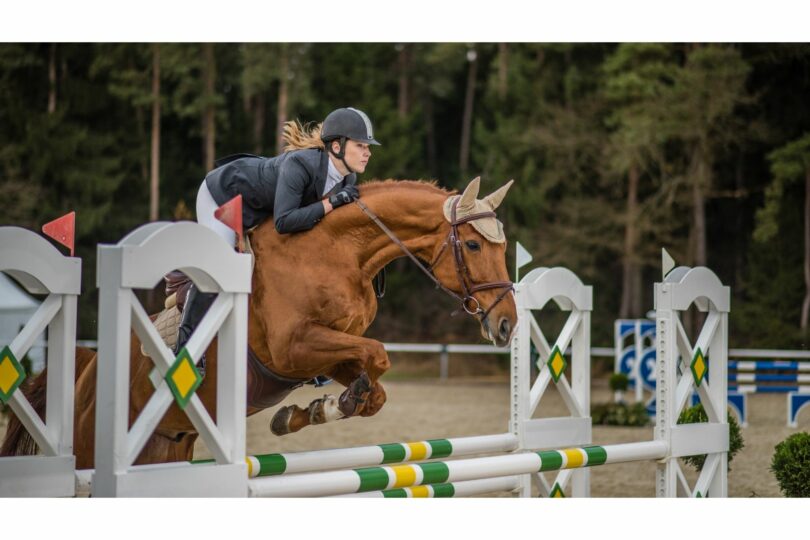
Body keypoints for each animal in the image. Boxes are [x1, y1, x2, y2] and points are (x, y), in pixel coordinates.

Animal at [1, 177, 518, 469]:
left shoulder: (329, 351)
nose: (508, 325)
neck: (338, 252)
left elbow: (375, 383)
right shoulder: (293, 349)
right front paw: (319, 409)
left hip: (164, 447)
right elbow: (379, 355)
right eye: (474, 245)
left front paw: (315, 410)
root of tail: (88, 368)